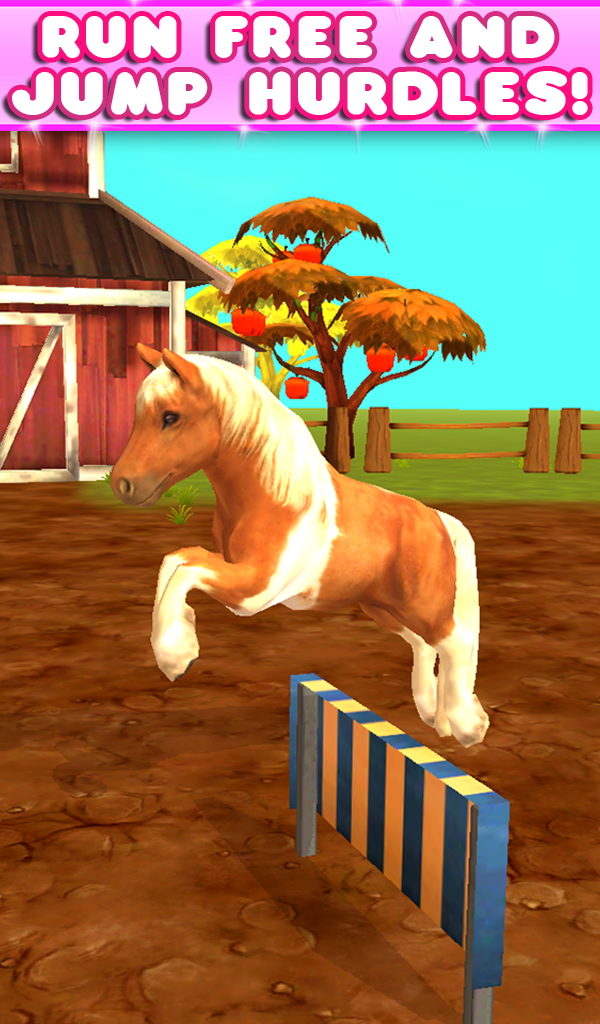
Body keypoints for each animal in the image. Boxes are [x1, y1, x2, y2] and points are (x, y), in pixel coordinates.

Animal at [111, 343, 489, 748]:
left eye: (170, 417)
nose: (122, 484)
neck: (272, 496)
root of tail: (438, 519)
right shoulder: (227, 564)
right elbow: (175, 560)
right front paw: (181, 641)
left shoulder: (252, 590)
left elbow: (185, 570)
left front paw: (175, 659)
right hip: (383, 607)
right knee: (424, 645)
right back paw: (434, 715)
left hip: (422, 608)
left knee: (456, 642)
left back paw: (468, 727)